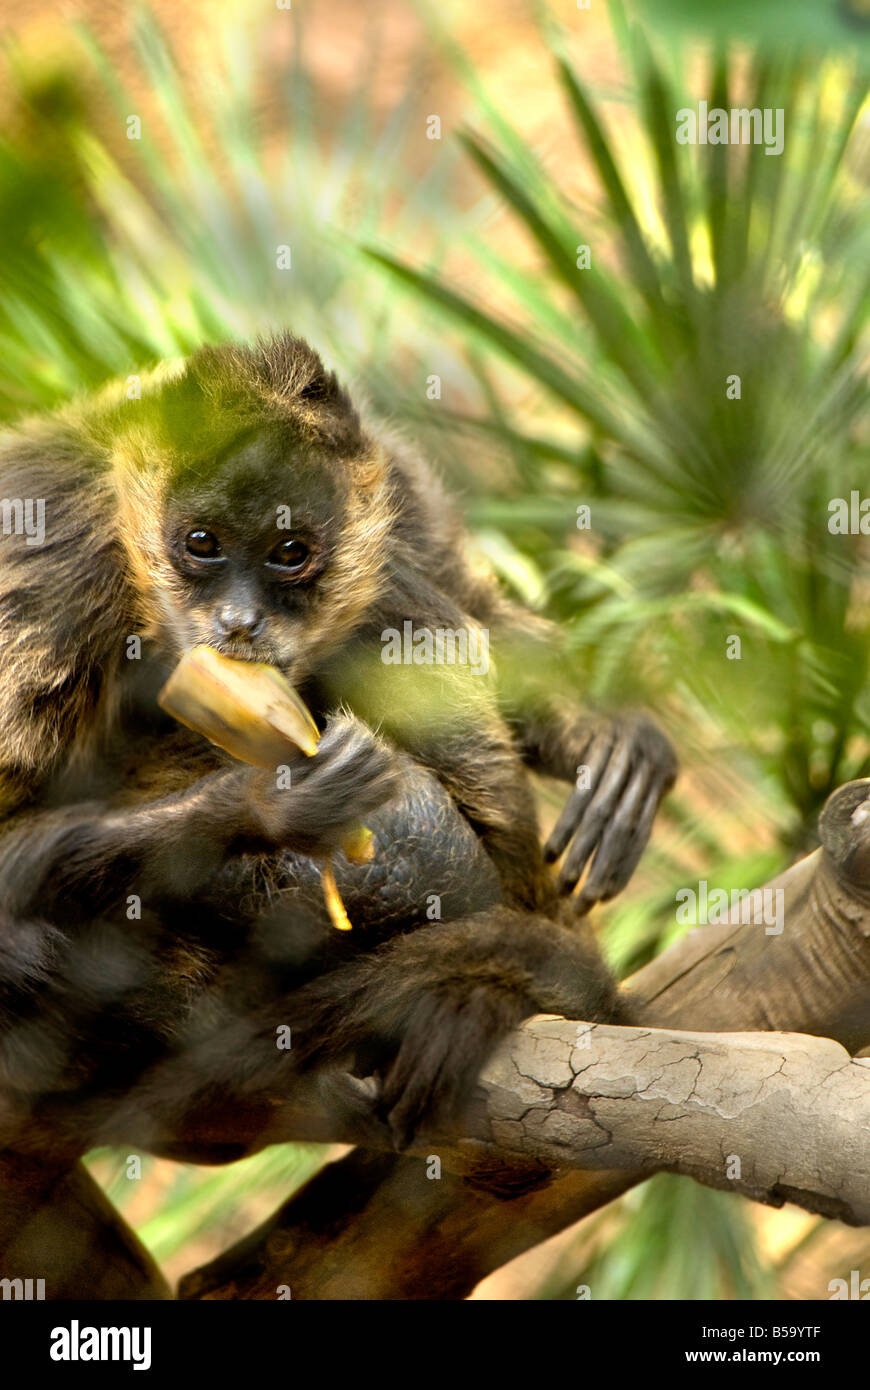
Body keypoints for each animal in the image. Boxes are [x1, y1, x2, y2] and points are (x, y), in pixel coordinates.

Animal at [0, 333, 676, 1158]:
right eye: (201, 544)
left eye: (290, 552)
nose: (240, 622)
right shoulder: (53, 572)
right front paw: (271, 804)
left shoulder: (391, 482)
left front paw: (616, 737)